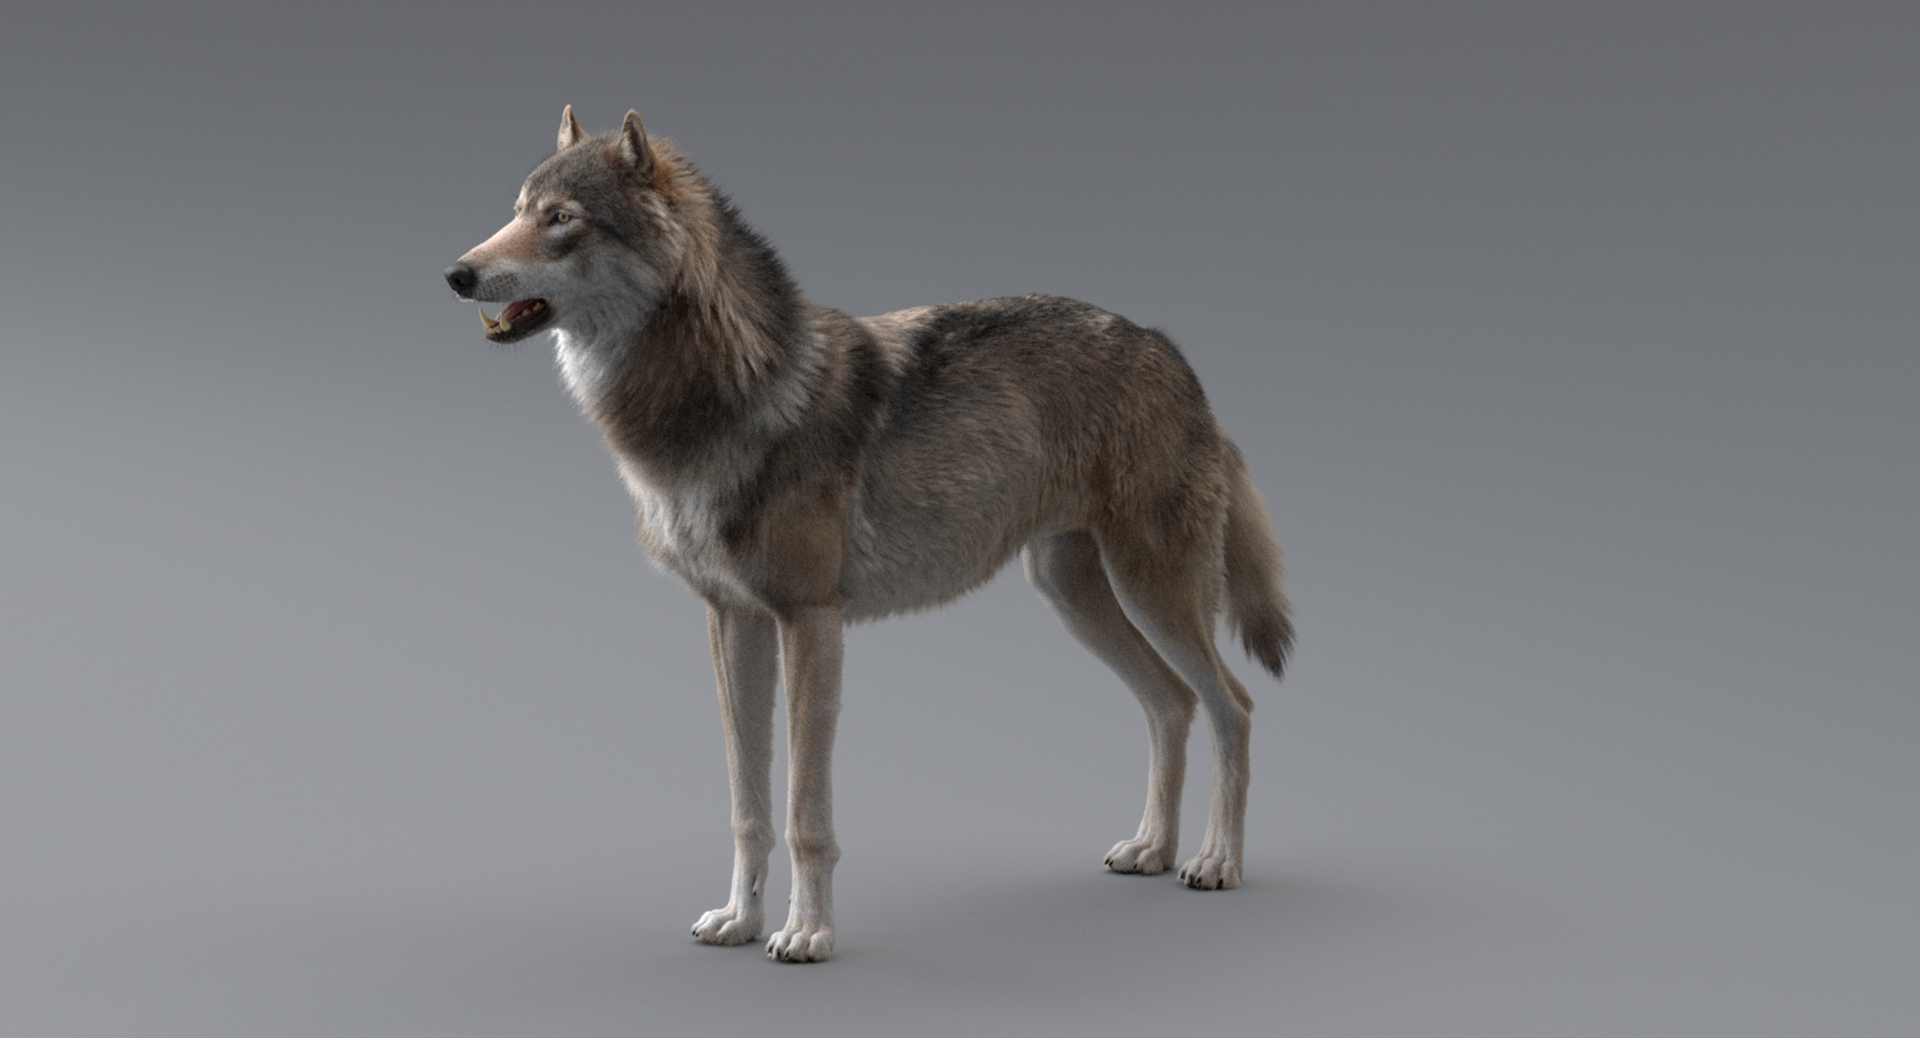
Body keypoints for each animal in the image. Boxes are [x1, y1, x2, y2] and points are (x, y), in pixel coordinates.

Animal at [444, 107, 1293, 963]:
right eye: (516, 211)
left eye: (561, 220)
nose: (455, 273)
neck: (727, 393)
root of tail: (1172, 353)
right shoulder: (733, 621)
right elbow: (747, 805)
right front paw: (740, 920)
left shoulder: (811, 623)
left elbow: (803, 813)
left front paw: (808, 932)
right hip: (1076, 597)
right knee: (1171, 705)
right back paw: (1152, 848)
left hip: (1151, 592)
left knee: (1234, 706)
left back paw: (1215, 861)